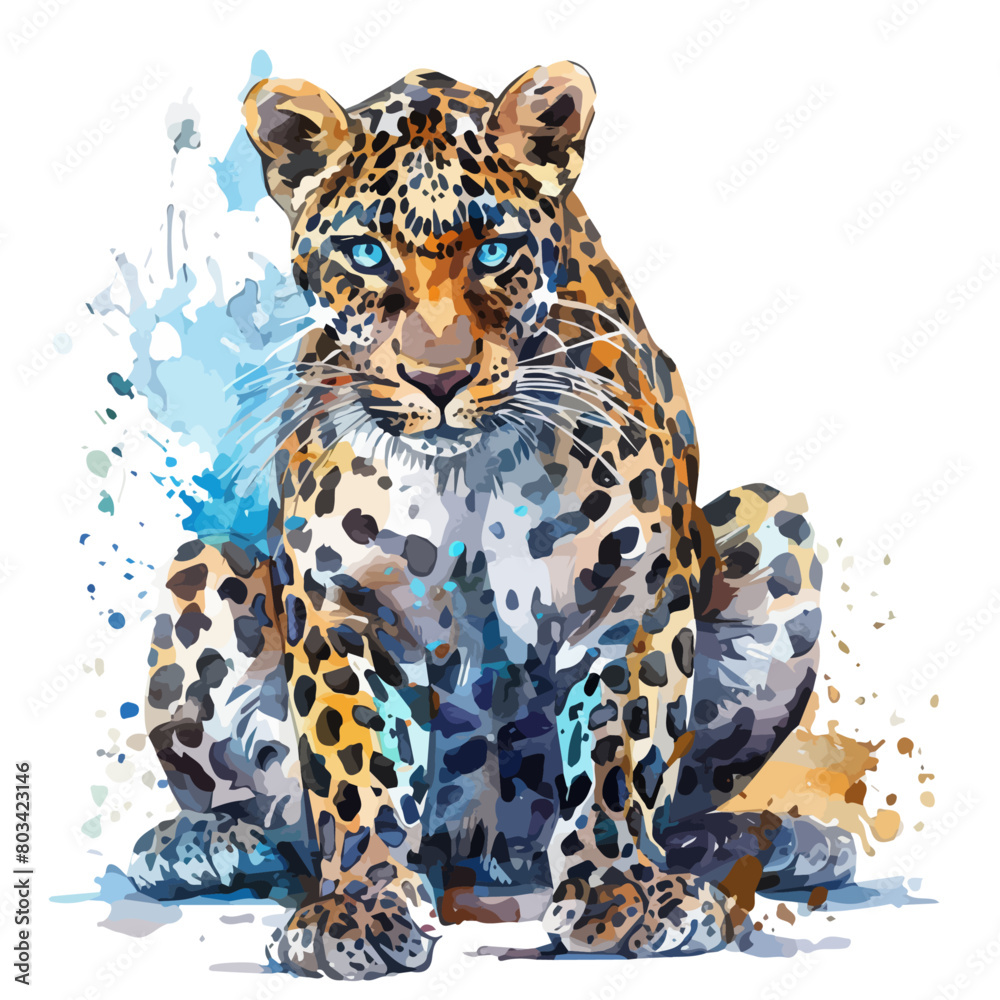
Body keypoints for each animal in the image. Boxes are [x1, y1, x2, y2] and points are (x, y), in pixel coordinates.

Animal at [127, 62, 839, 979]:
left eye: (495, 250)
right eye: (365, 253)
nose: (439, 379)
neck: (467, 466)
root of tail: (487, 863)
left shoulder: (634, 592)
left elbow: (619, 751)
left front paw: (624, 892)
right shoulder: (342, 600)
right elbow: (353, 763)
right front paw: (360, 907)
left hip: (779, 528)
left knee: (680, 810)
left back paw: (771, 842)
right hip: (201, 563)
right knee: (283, 829)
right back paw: (200, 843)